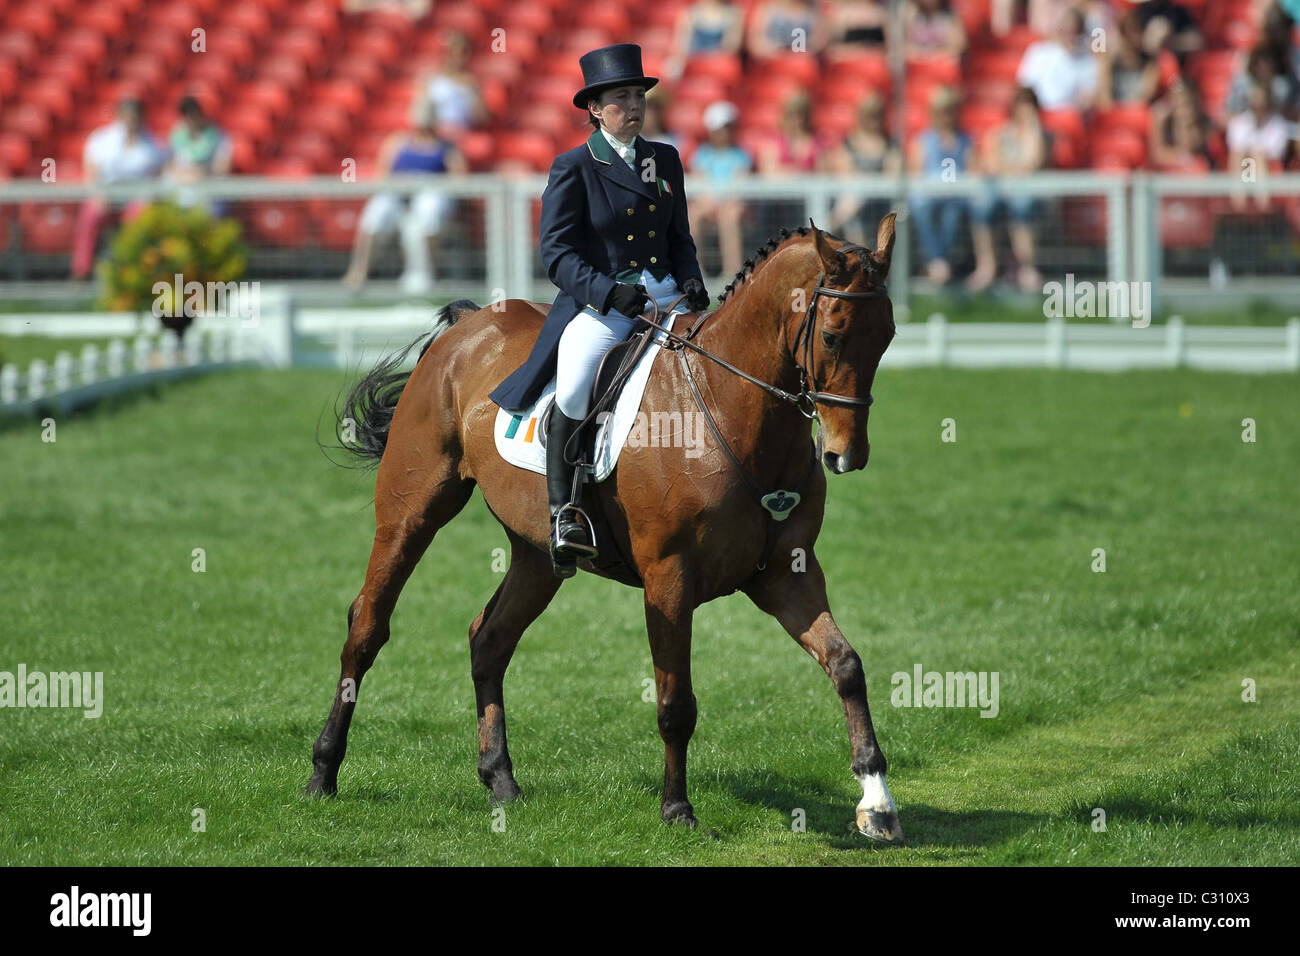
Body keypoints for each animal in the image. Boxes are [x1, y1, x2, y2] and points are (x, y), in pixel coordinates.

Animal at [304, 214, 904, 844]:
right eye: (833, 336)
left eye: (887, 335)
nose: (846, 455)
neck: (727, 406)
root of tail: (468, 324)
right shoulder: (669, 579)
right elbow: (676, 703)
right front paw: (677, 809)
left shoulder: (787, 573)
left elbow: (846, 665)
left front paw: (877, 803)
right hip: (412, 512)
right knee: (367, 626)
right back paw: (323, 772)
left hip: (538, 555)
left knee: (489, 639)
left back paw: (500, 780)